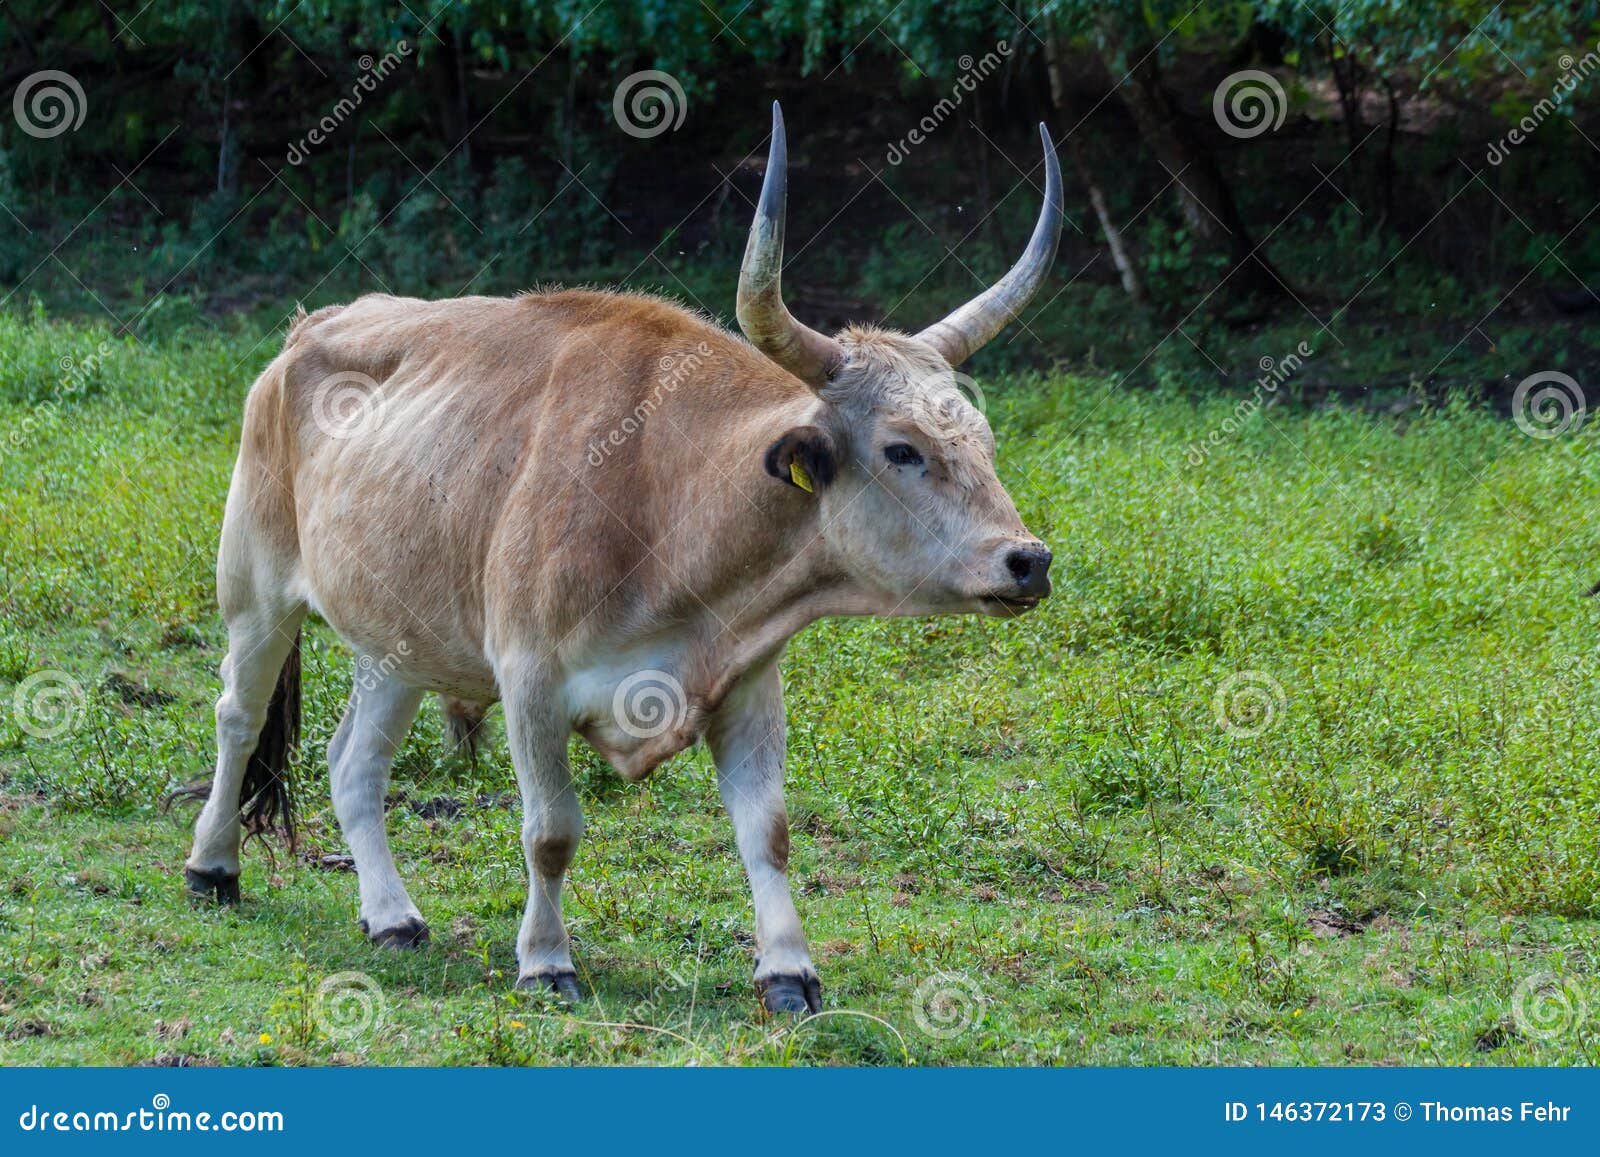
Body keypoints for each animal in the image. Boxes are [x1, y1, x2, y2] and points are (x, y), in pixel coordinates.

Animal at [179, 103, 1061, 1015]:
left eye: (984, 438)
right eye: (902, 448)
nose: (1027, 559)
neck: (666, 498)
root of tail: (311, 328)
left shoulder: (749, 680)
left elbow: (768, 830)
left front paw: (787, 967)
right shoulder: (529, 679)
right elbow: (551, 831)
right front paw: (546, 959)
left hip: (399, 642)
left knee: (354, 764)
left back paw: (391, 913)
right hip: (256, 592)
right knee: (238, 718)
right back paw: (213, 866)